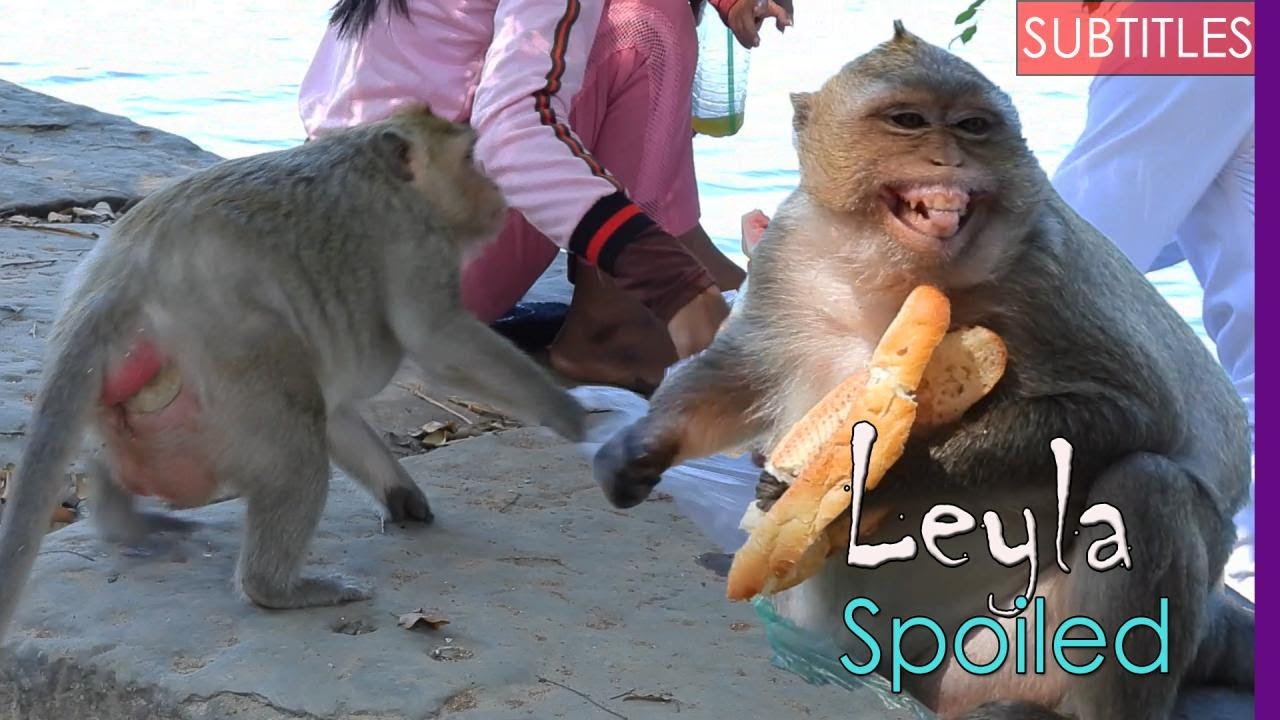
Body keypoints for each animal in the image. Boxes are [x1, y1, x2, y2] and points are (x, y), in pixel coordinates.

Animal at [0, 106, 587, 643]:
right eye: (469, 158)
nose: (496, 189)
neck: (374, 164)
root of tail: (117, 281)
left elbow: (339, 414)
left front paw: (402, 494)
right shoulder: (414, 239)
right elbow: (437, 339)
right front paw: (575, 416)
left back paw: (122, 519)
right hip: (232, 353)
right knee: (295, 447)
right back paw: (276, 588)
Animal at [592, 22, 1253, 720]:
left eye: (973, 126)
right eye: (908, 120)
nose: (950, 161)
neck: (896, 273)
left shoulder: (1049, 274)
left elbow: (1131, 412)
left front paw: (887, 477)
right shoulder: (786, 253)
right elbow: (740, 374)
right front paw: (641, 447)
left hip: (1020, 650)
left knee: (1150, 485)